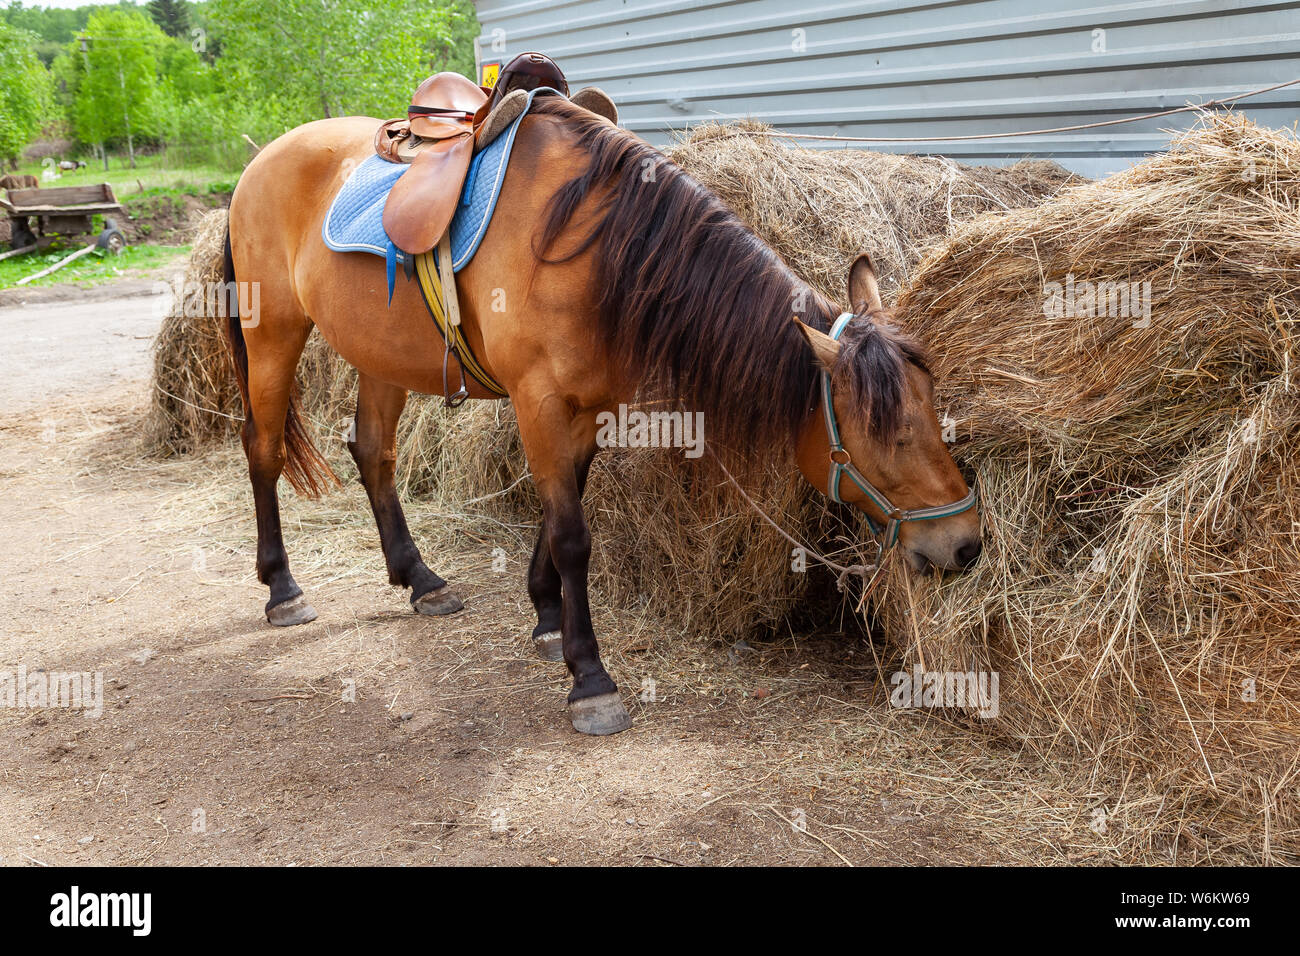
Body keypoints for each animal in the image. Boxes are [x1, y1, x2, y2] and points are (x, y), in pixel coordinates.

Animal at [222, 94, 982, 735]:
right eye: (889, 433)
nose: (966, 544)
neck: (591, 246)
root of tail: (258, 162)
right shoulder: (538, 400)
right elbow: (571, 535)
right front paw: (589, 676)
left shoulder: (586, 411)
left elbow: (560, 516)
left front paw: (546, 617)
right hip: (273, 336)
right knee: (264, 449)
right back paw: (282, 588)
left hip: (378, 354)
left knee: (374, 454)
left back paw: (421, 580)